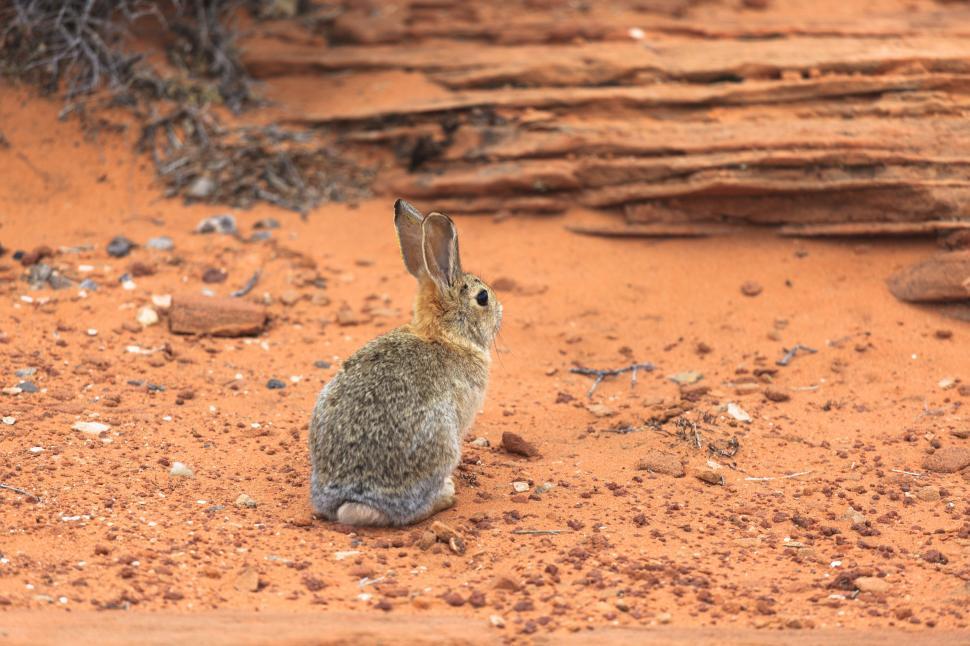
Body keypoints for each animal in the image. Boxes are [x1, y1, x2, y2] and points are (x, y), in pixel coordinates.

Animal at [308, 199, 503, 526]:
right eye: (482, 297)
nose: (502, 311)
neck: (444, 335)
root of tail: (353, 500)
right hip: (442, 442)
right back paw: (446, 495)